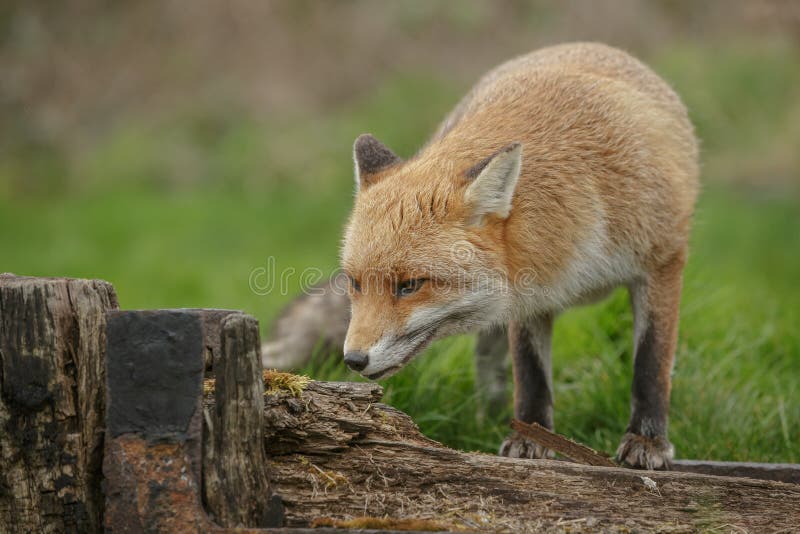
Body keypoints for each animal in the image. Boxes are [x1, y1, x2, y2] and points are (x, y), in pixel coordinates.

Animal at [340, 42, 699, 470]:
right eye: (354, 283)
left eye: (410, 285)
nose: (353, 360)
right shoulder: (527, 288)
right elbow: (530, 371)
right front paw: (530, 436)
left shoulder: (662, 260)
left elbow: (651, 362)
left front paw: (648, 441)